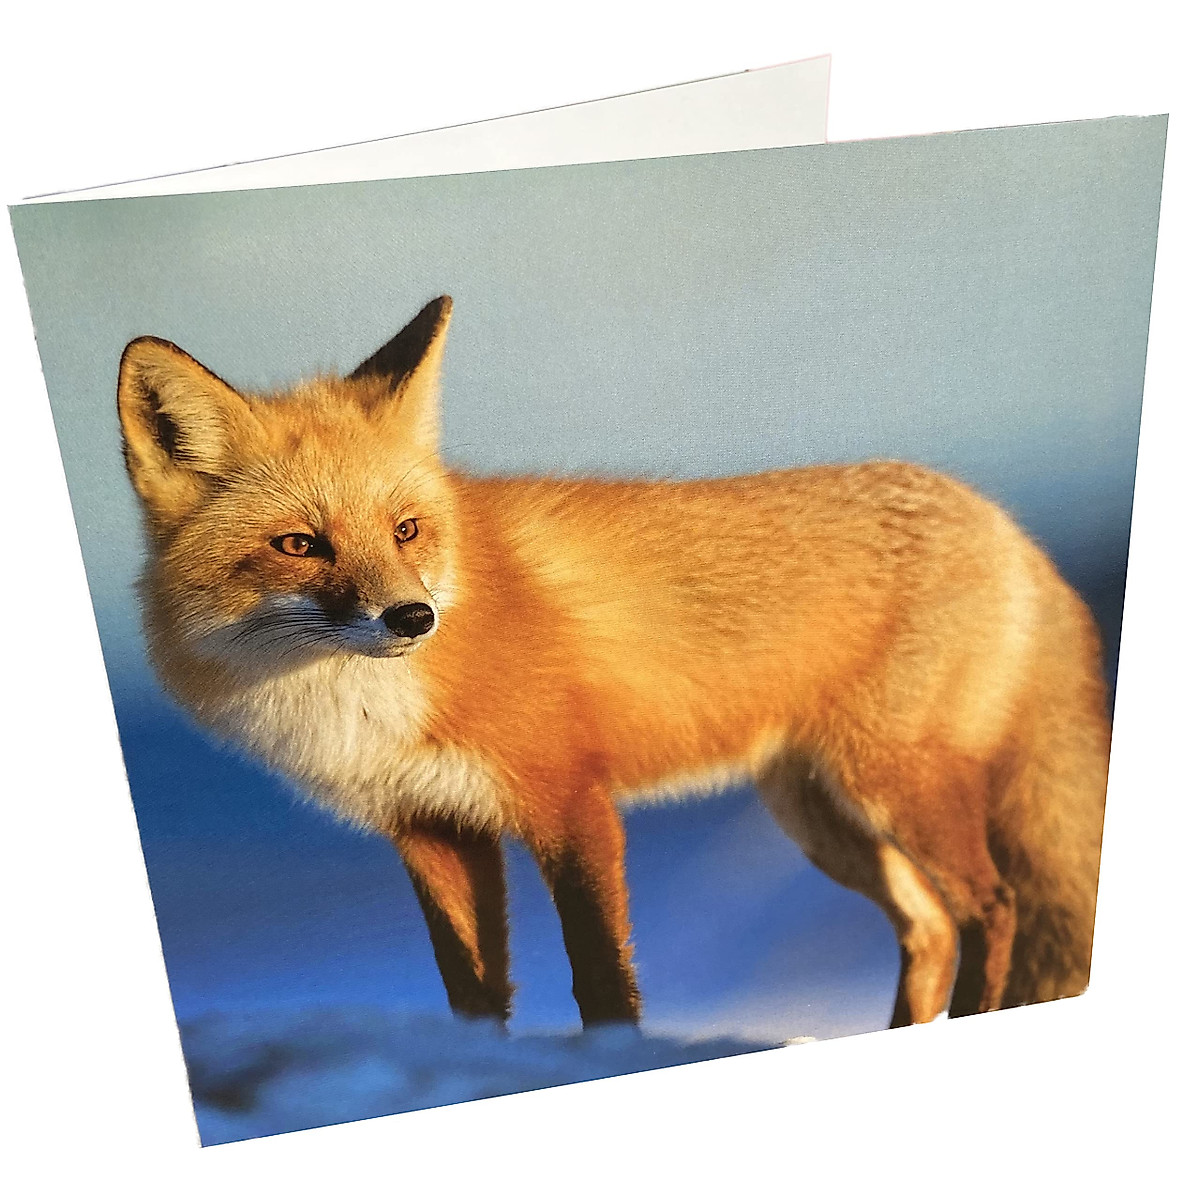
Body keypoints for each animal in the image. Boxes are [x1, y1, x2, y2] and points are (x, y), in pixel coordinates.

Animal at [117, 295, 1110, 1030]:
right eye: (299, 545)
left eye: (405, 530)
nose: (412, 617)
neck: (366, 706)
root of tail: (1004, 523)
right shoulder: (433, 829)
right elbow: (472, 996)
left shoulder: (570, 799)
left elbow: (602, 980)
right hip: (822, 814)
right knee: (933, 929)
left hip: (891, 786)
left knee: (993, 908)